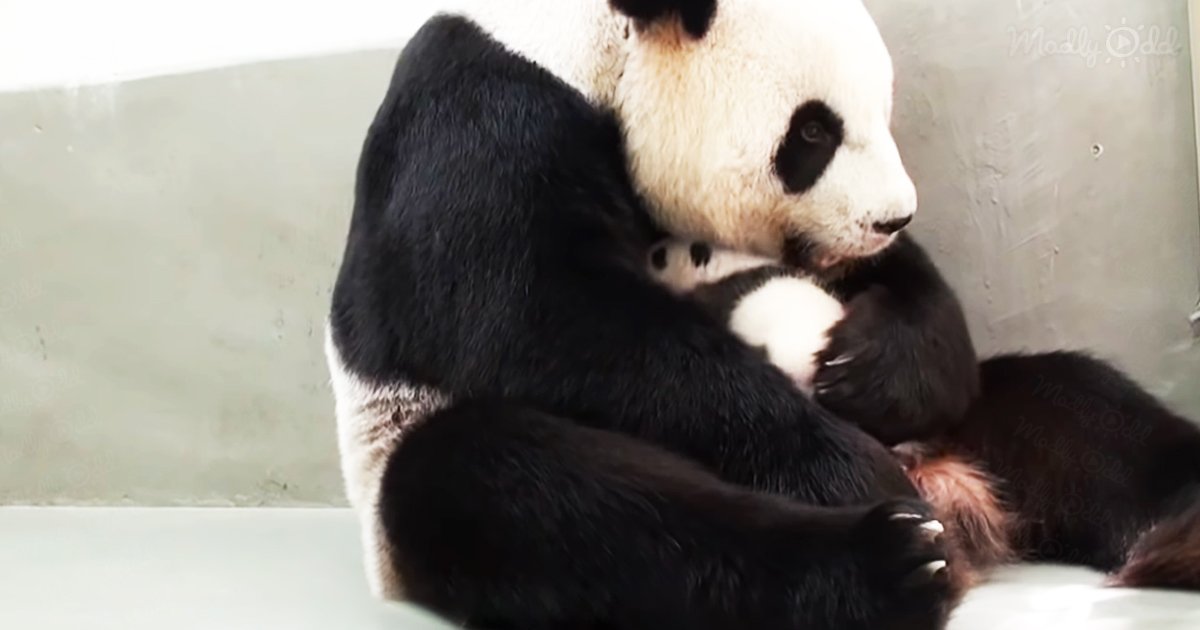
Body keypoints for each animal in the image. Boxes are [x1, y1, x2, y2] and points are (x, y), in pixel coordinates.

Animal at [325, 1, 969, 628]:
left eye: (882, 109)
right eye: (814, 131)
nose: (891, 218)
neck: (590, 46)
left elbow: (898, 283)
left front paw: (873, 373)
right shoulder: (482, 116)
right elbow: (522, 313)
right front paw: (852, 466)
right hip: (405, 448)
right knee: (535, 495)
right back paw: (893, 562)